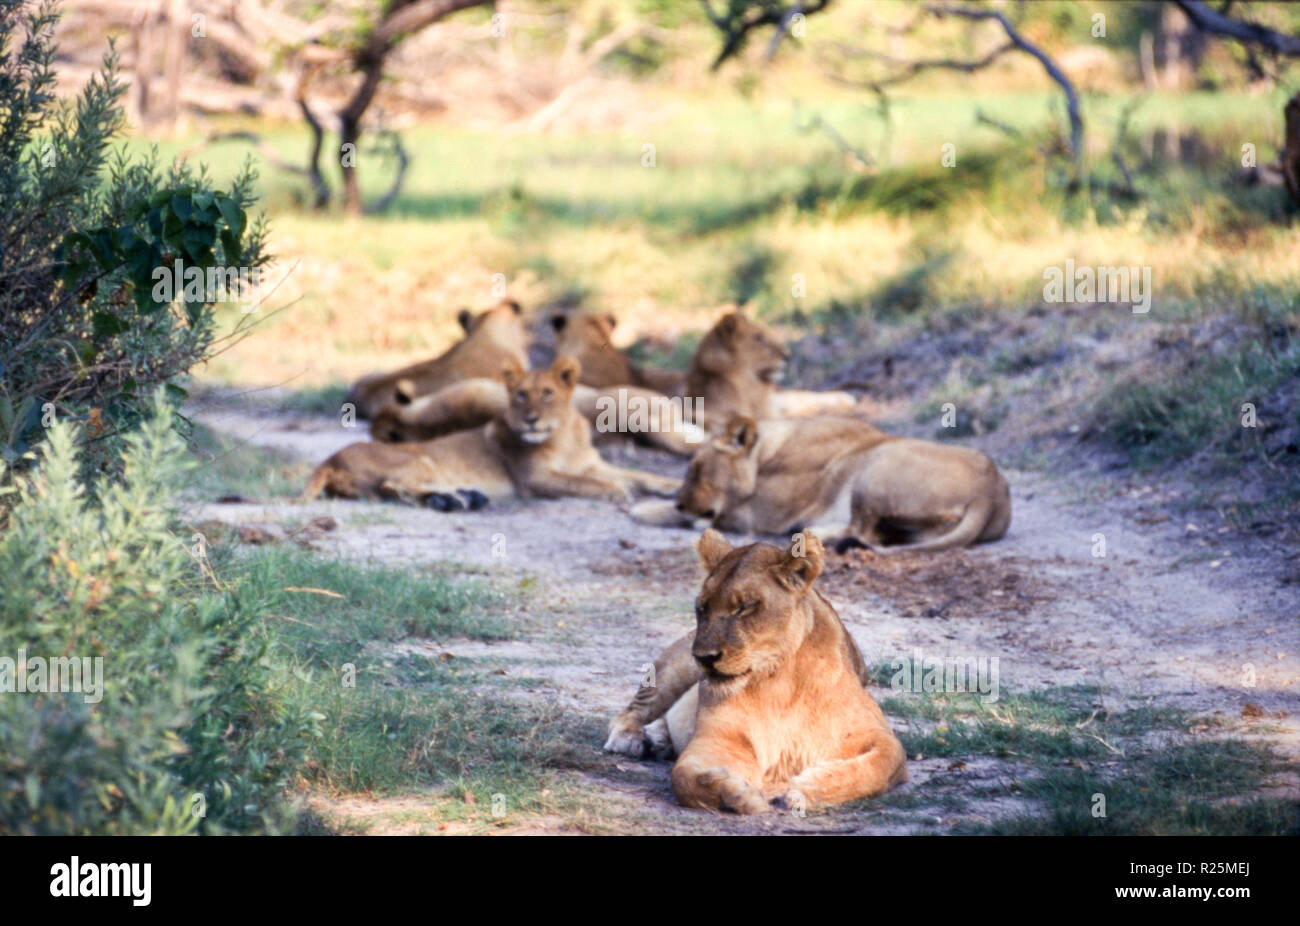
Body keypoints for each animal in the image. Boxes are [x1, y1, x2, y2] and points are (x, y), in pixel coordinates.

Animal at [303, 357, 681, 506]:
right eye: (520, 395)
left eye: (547, 393)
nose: (530, 420)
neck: (565, 438)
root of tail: (327, 461)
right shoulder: (534, 479)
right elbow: (583, 483)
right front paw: (616, 491)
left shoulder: (593, 464)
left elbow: (639, 473)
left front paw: (673, 485)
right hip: (418, 460)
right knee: (393, 487)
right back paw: (453, 500)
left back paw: (463, 497)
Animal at [604, 529, 907, 814]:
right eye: (702, 608)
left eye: (744, 607)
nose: (704, 657)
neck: (780, 684)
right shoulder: (719, 738)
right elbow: (683, 778)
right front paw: (735, 792)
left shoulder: (880, 736)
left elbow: (878, 766)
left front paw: (806, 789)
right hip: (673, 669)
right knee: (634, 708)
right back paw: (630, 739)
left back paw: (659, 741)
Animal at [633, 415, 1011, 554]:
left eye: (697, 468)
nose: (682, 501)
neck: (765, 454)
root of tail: (990, 492)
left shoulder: (760, 515)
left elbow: (699, 517)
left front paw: (649, 509)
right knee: (874, 535)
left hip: (875, 468)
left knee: (863, 531)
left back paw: (810, 533)